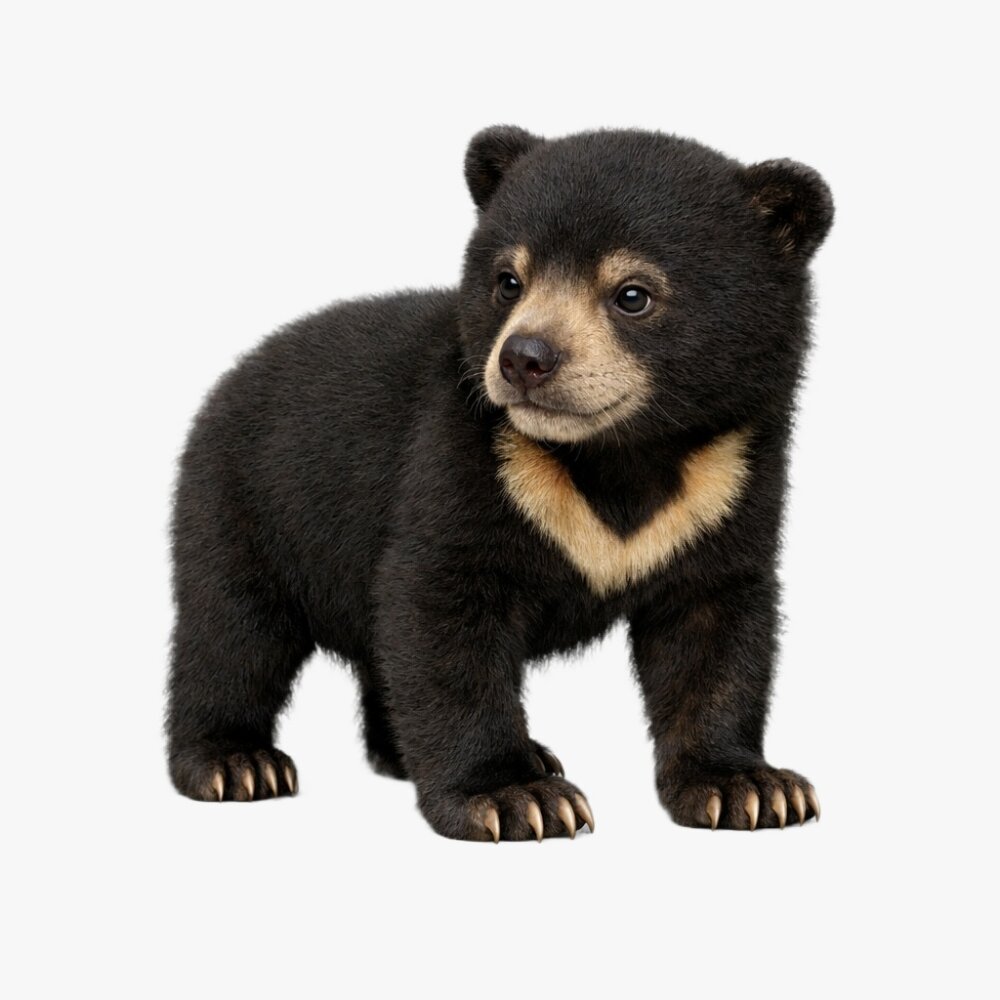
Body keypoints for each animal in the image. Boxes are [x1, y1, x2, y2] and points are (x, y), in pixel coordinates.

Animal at [166, 125, 832, 839]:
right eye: (509, 281)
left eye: (633, 294)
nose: (525, 358)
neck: (619, 455)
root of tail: (230, 377)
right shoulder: (463, 457)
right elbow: (443, 614)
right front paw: (516, 796)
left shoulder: (726, 483)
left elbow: (716, 627)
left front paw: (749, 788)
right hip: (240, 503)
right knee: (232, 632)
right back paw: (235, 763)